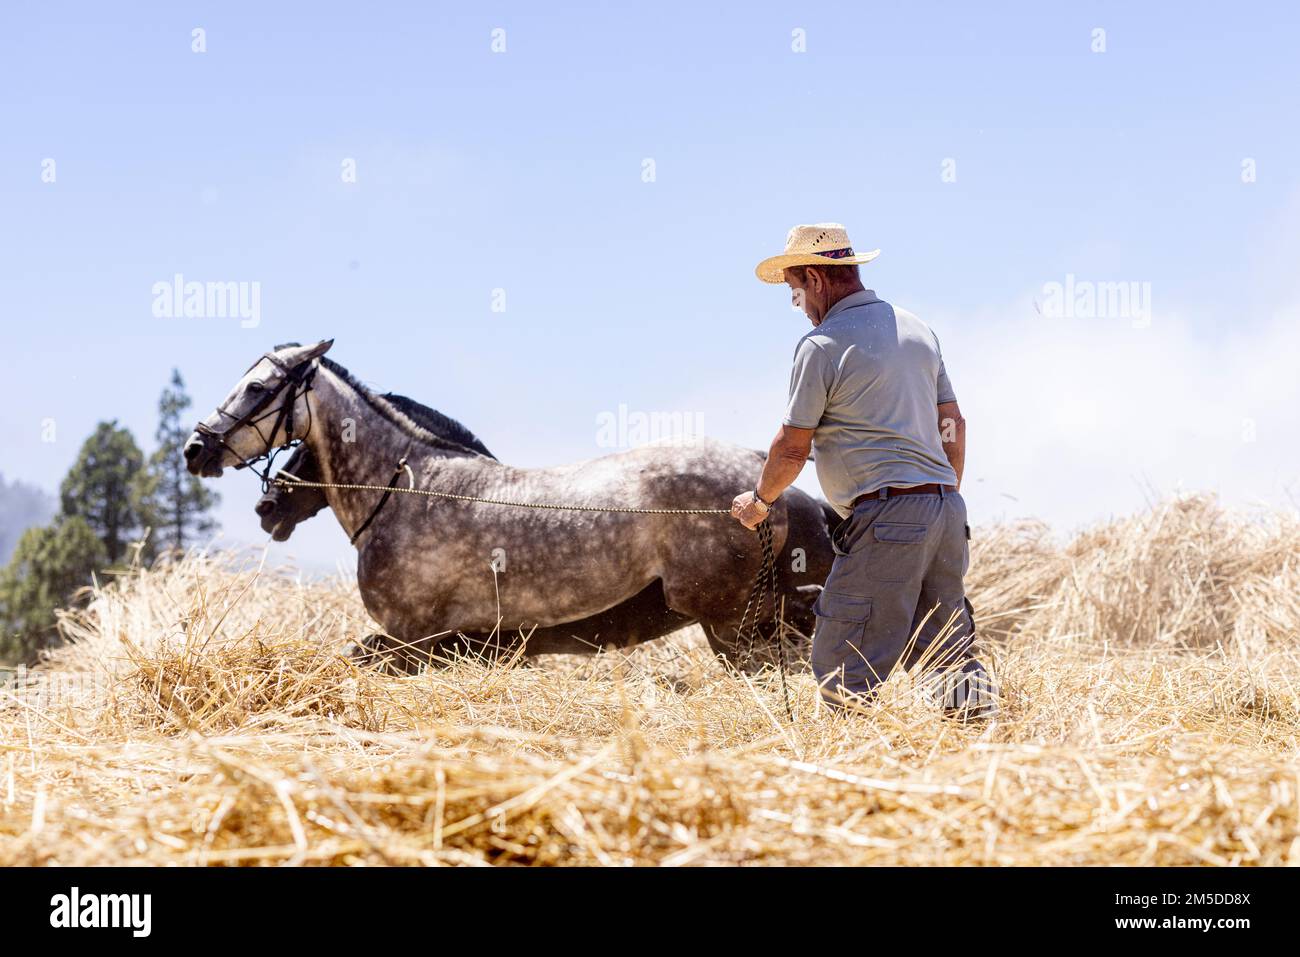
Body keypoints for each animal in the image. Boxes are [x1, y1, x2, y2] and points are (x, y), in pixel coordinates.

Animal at [185, 340, 836, 673]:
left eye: (257, 388)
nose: (197, 449)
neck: (408, 494)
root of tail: (773, 490)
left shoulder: (413, 638)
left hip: (731, 623)